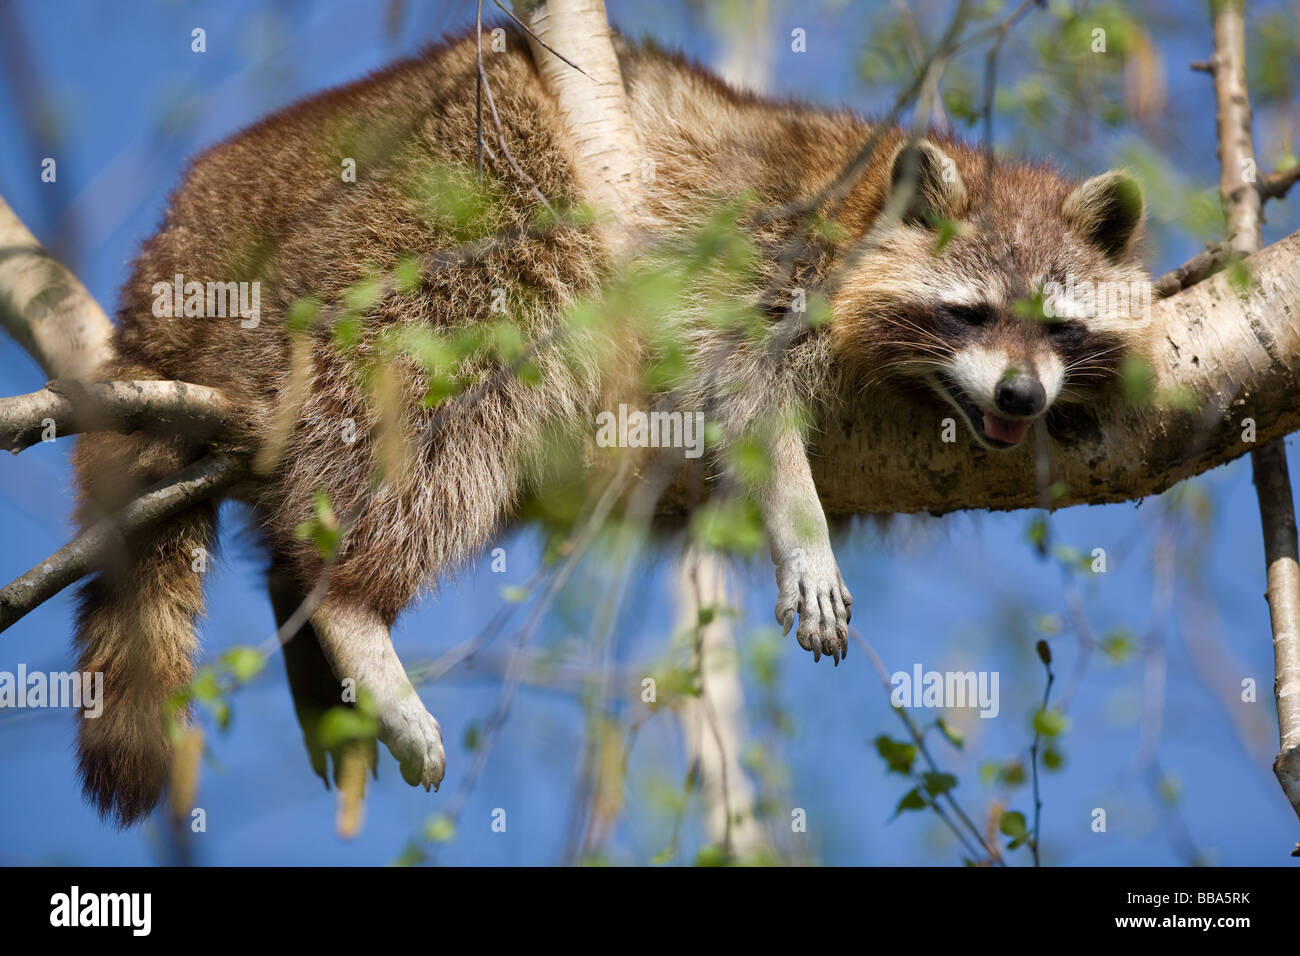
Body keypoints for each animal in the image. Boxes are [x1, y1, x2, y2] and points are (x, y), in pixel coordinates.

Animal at [70, 28, 1148, 824]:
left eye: (1056, 324)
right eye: (970, 312)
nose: (1021, 399)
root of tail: (192, 234)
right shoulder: (758, 240)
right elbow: (738, 382)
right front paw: (801, 523)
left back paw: (306, 604)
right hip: (438, 202)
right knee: (445, 384)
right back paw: (348, 605)